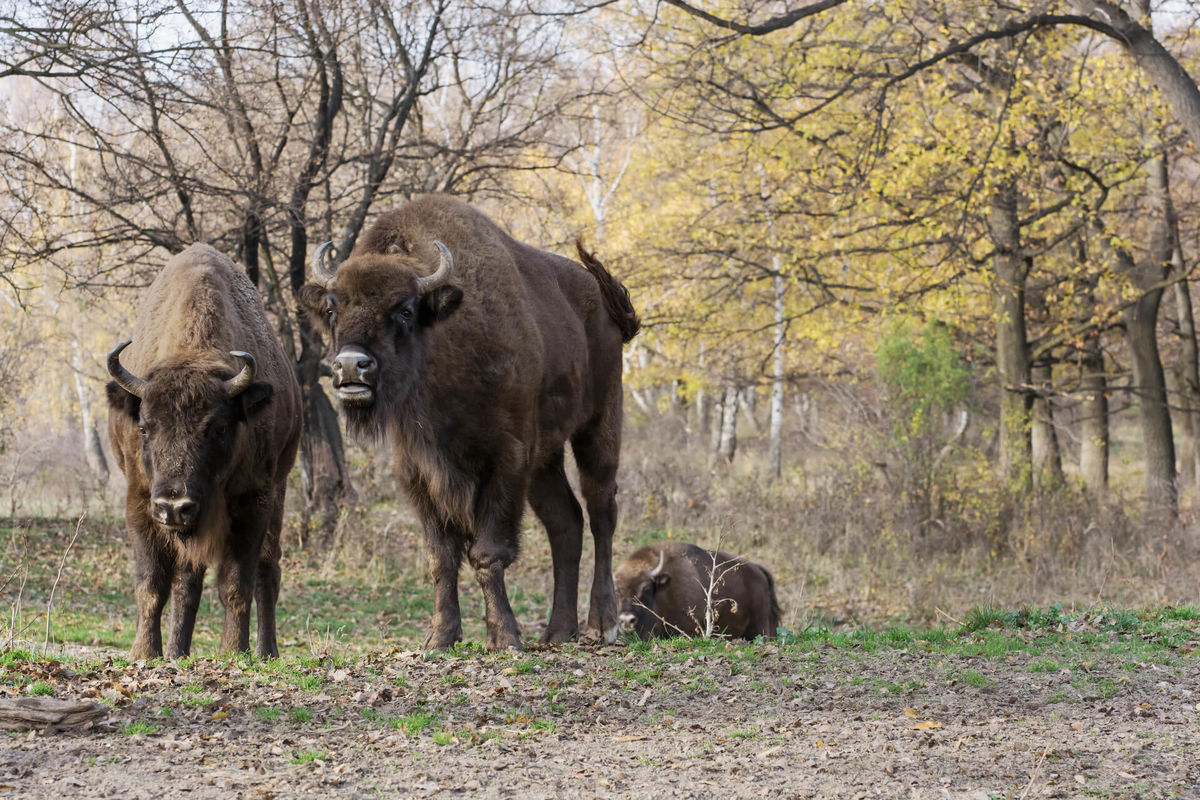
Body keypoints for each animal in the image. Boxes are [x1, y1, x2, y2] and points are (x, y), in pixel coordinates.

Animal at [106, 243, 301, 660]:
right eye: (144, 428)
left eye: (219, 428)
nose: (175, 506)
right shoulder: (140, 499)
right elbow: (152, 583)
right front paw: (145, 653)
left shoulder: (253, 500)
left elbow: (236, 584)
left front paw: (233, 651)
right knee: (187, 581)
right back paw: (177, 651)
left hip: (279, 491)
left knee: (268, 573)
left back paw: (267, 651)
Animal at [299, 194, 639, 651]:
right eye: (333, 307)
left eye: (405, 309)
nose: (351, 366)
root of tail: (603, 303)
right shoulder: (417, 471)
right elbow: (441, 557)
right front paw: (440, 637)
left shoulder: (506, 460)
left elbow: (487, 551)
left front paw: (505, 636)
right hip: (545, 460)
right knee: (565, 523)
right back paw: (557, 630)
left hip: (598, 427)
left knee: (602, 512)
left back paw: (602, 623)